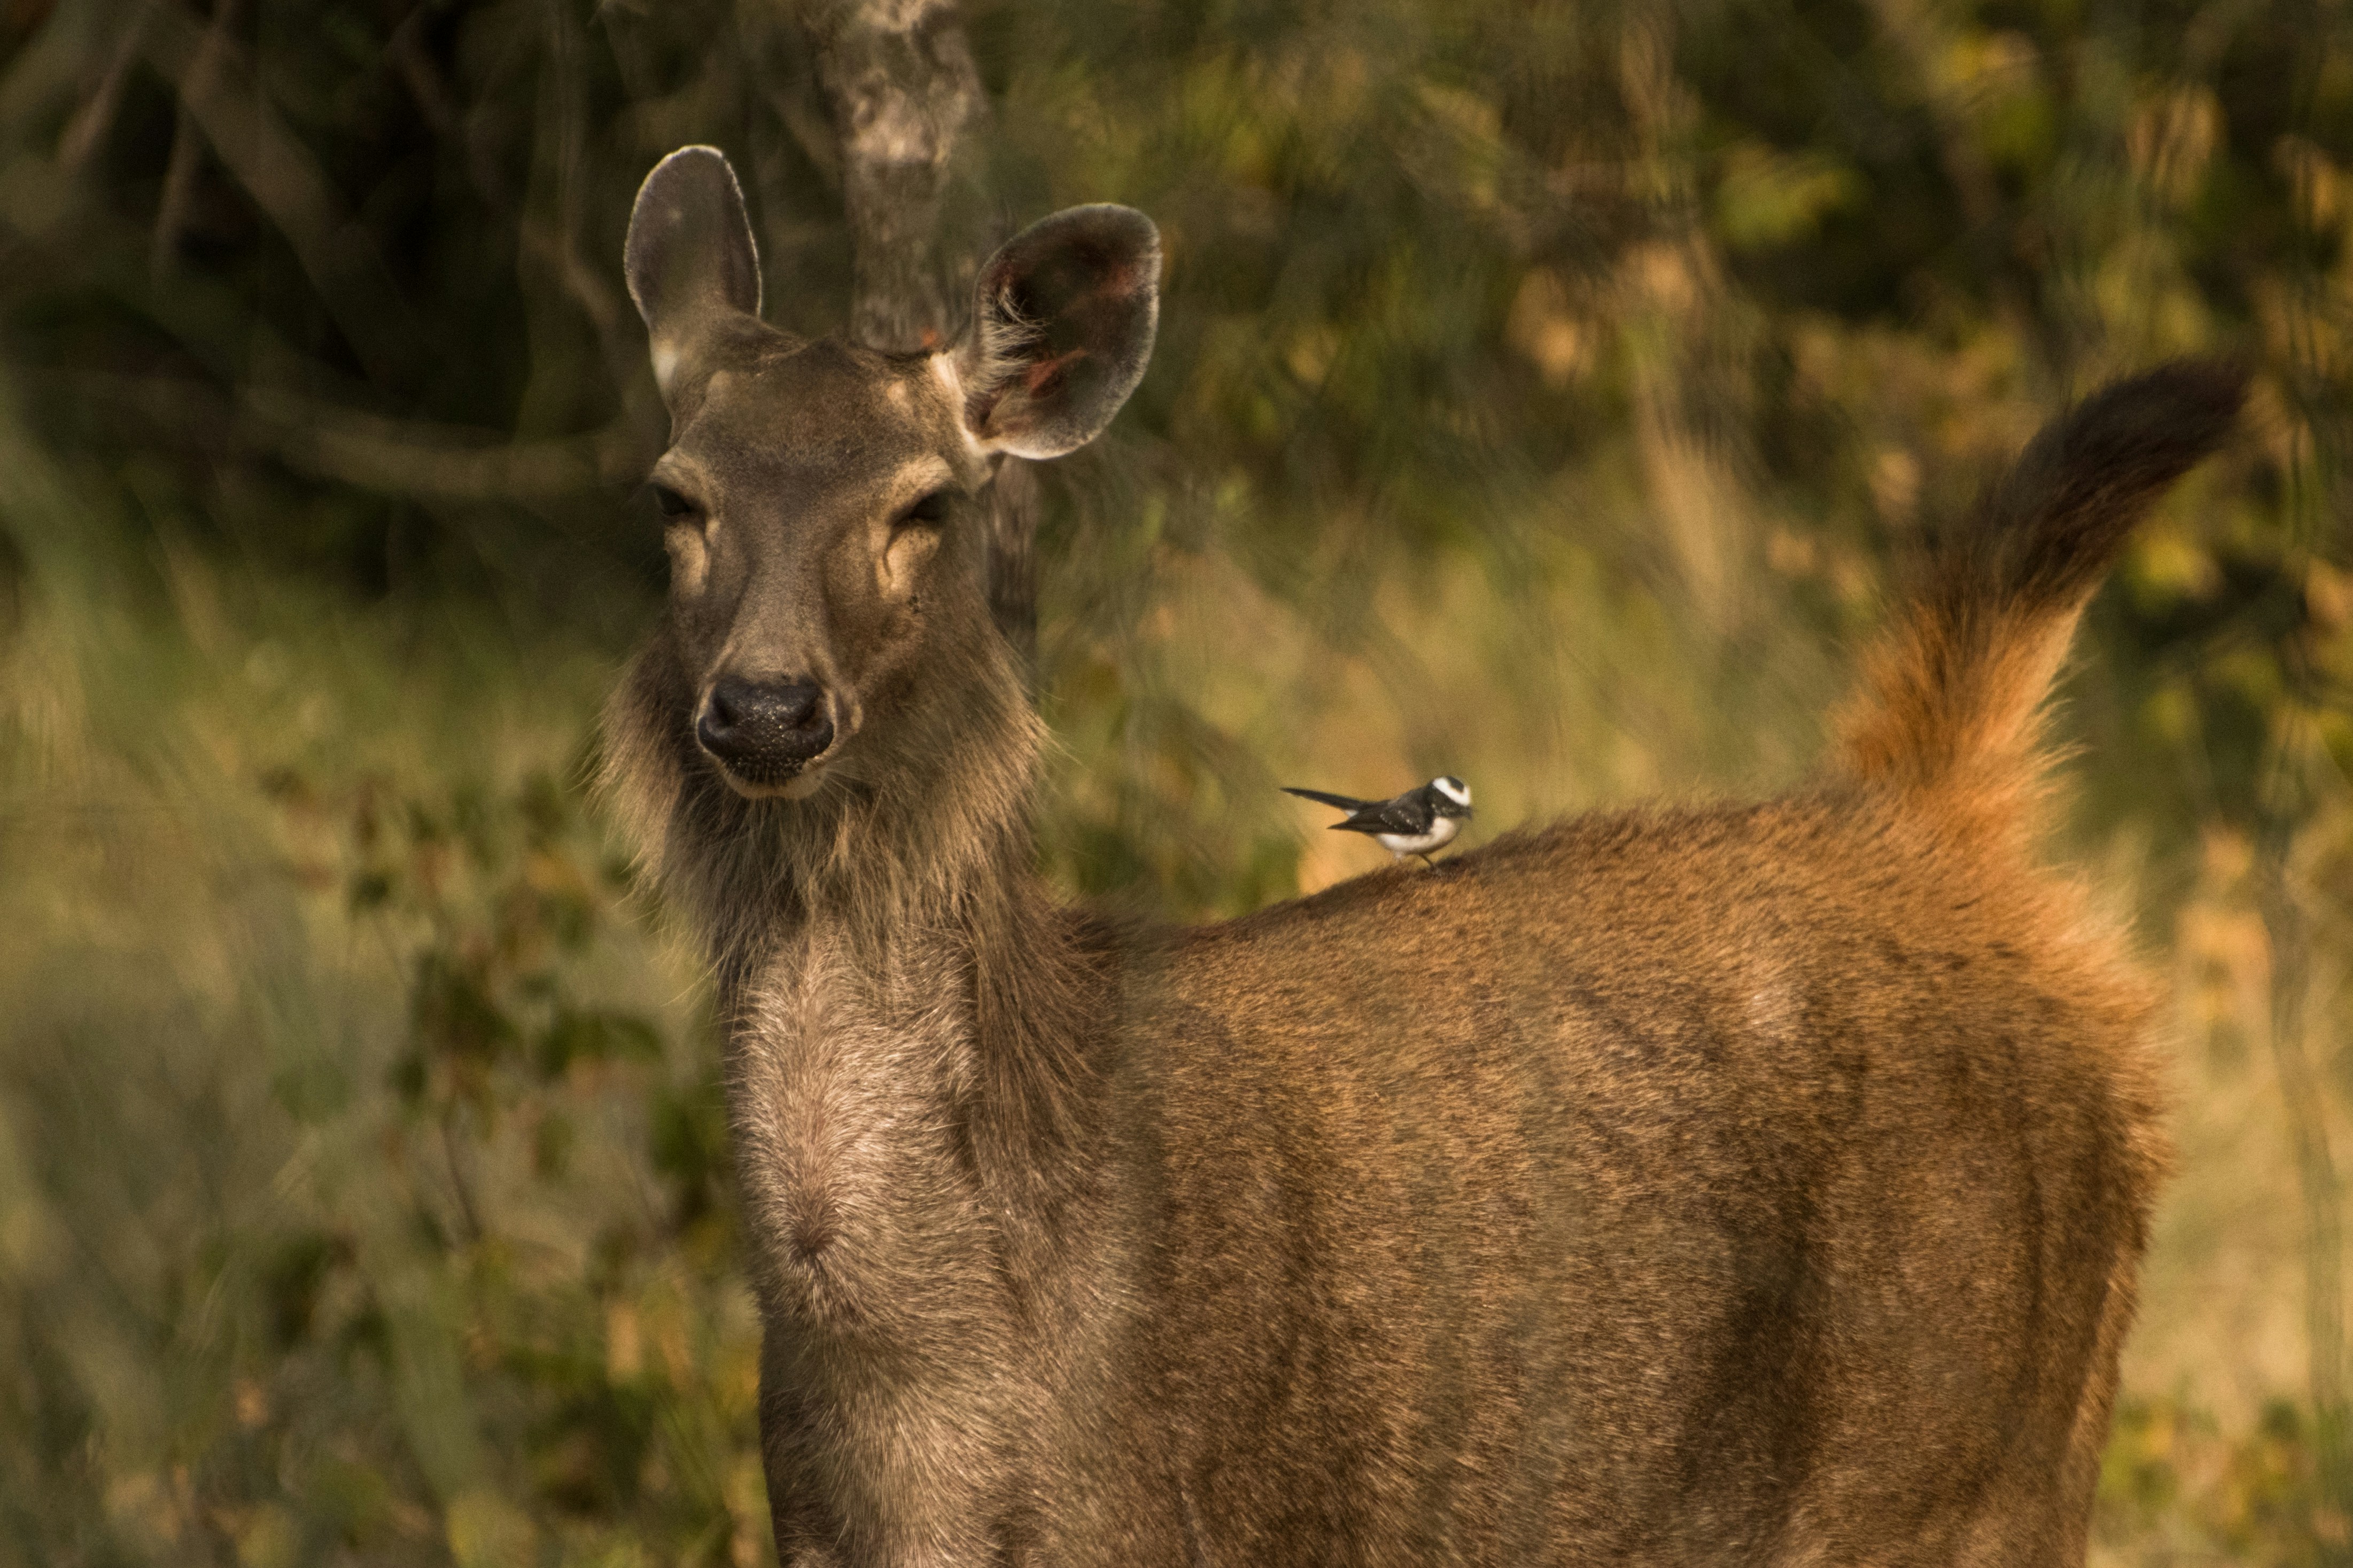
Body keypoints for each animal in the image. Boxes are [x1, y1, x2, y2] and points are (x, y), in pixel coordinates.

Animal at [599, 144, 2244, 1566]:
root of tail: (1946, 838)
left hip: (1976, 1463)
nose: (763, 704)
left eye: (924, 504)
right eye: (676, 498)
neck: (916, 1424)